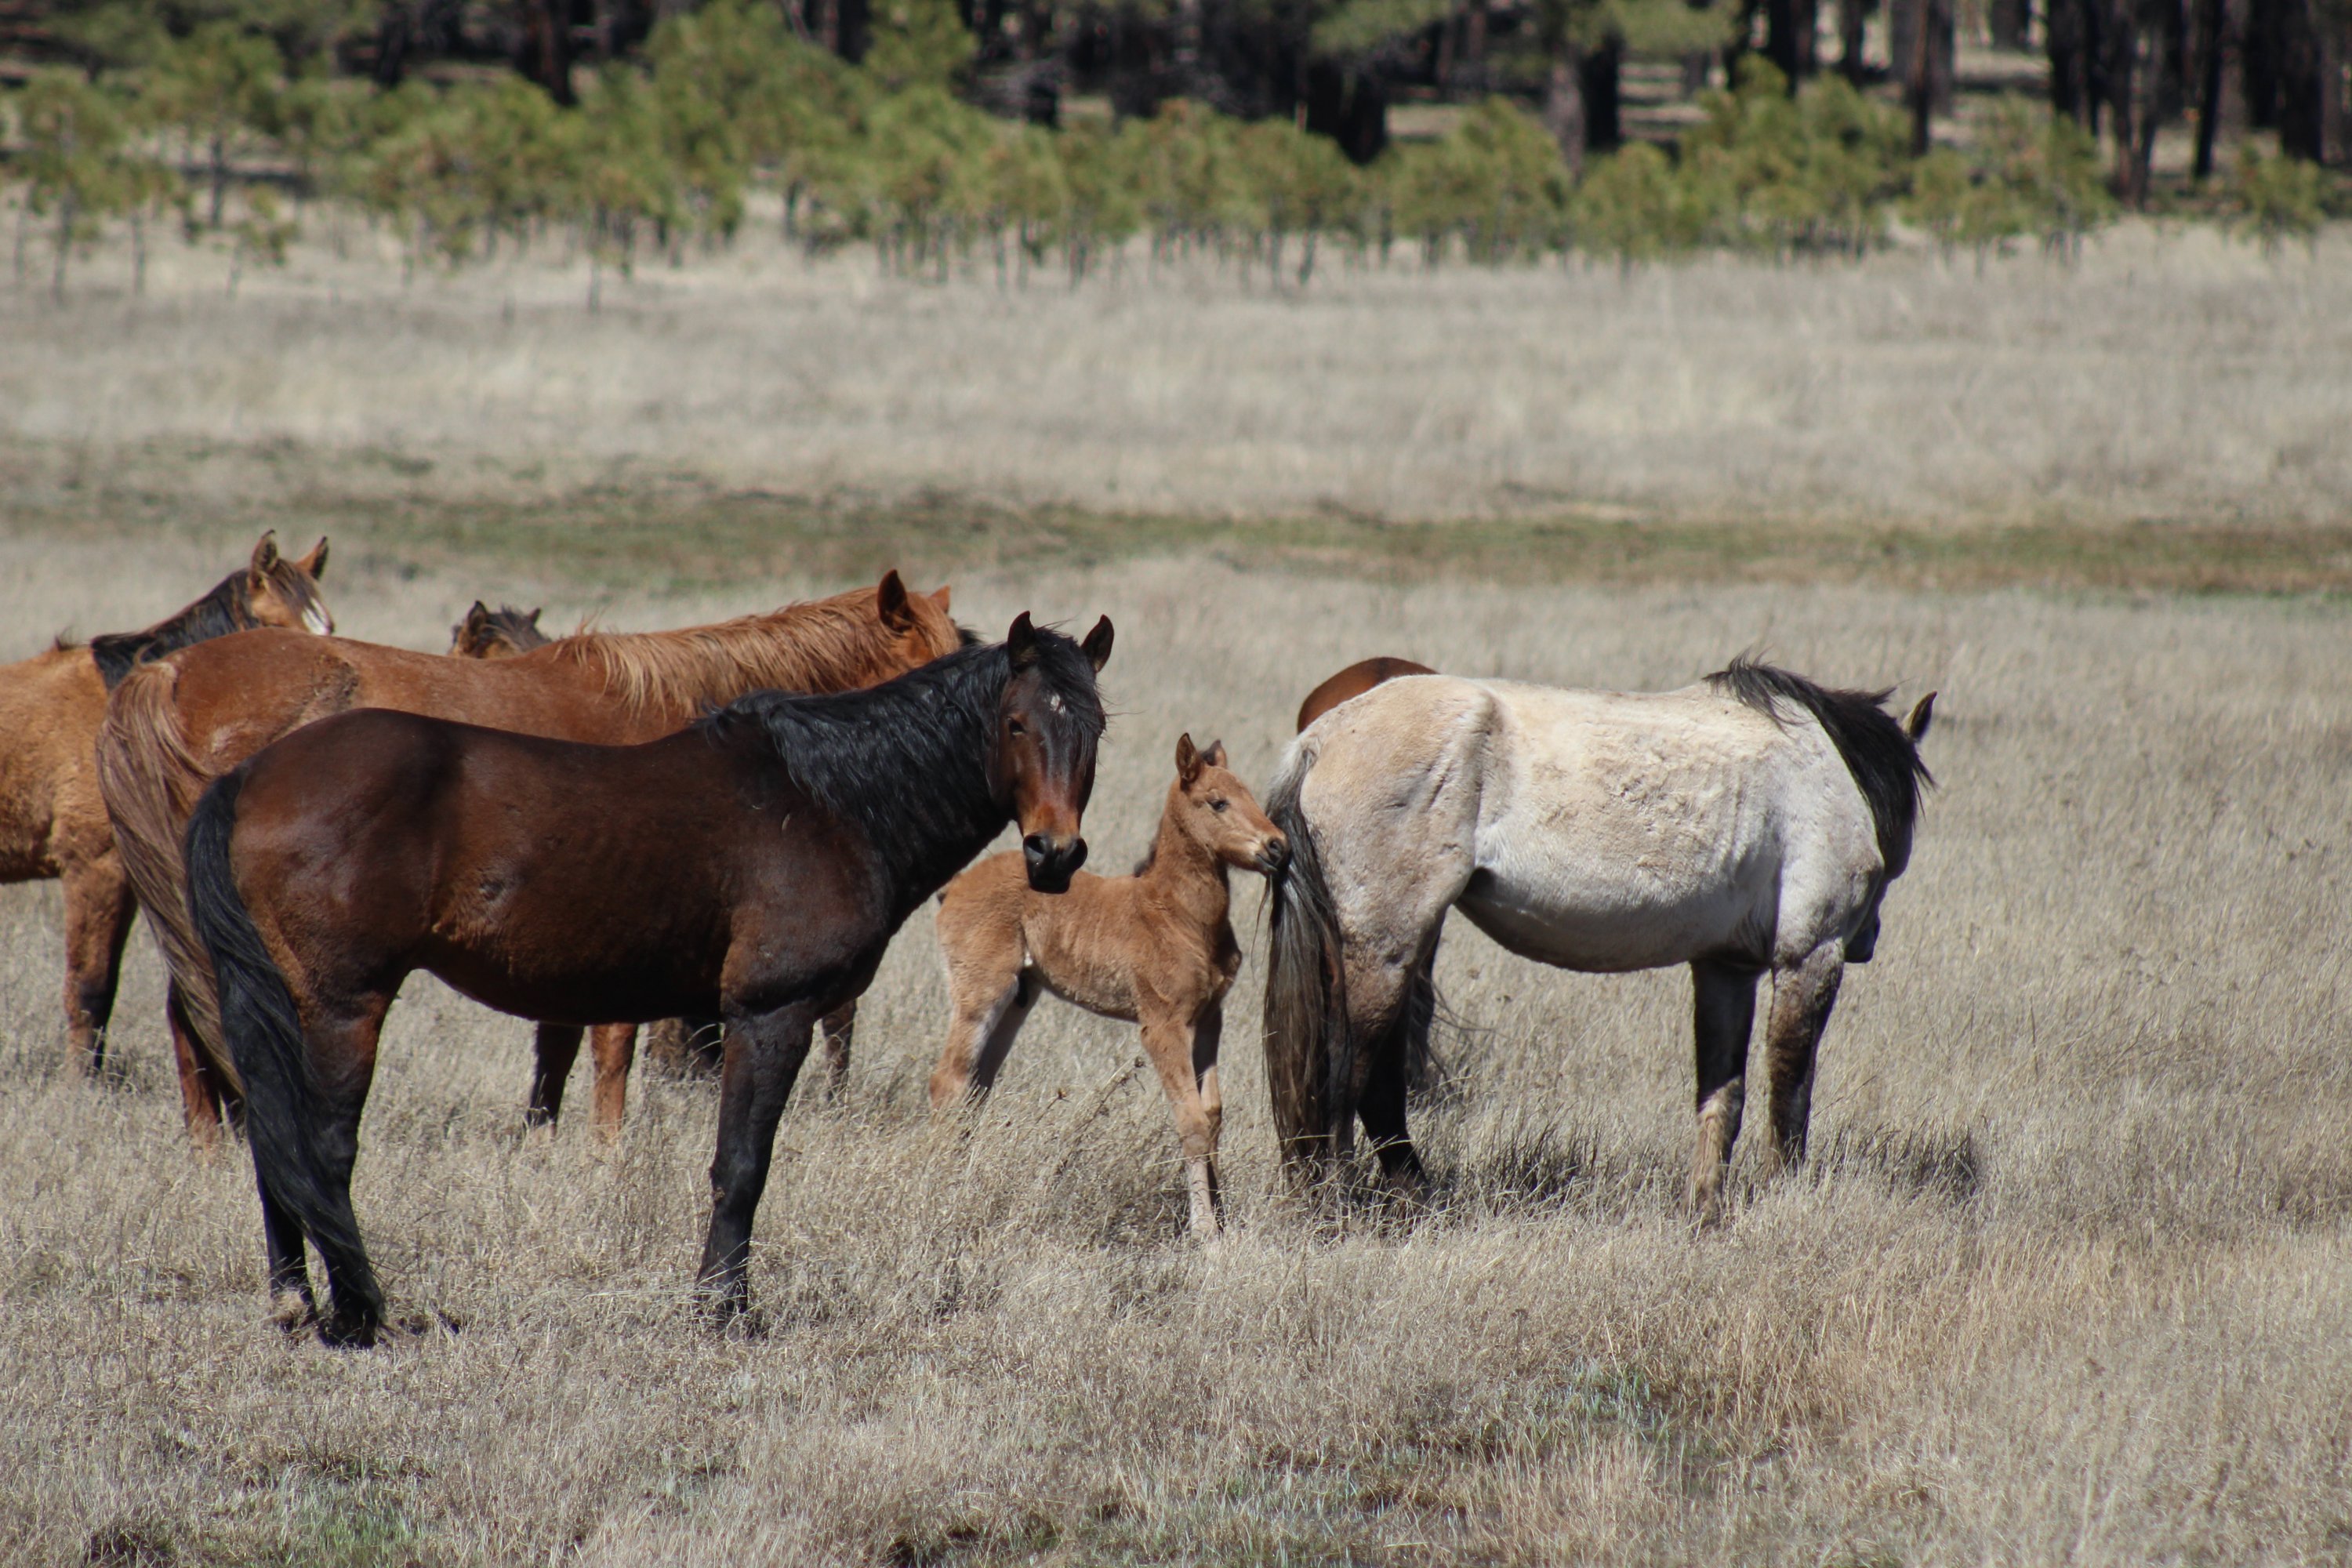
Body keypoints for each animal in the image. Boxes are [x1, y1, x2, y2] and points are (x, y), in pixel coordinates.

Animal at [185, 614, 1111, 1345]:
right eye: (1018, 723)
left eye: (1098, 727)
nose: (1054, 855)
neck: (828, 801)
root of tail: (253, 774)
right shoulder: (770, 1015)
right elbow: (742, 1165)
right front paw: (726, 1310)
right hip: (344, 1006)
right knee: (319, 1149)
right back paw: (355, 1312)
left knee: (276, 1143)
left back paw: (295, 1303)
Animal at [930, 734, 1288, 1237]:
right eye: (1218, 802)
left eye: (1251, 794)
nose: (1278, 848)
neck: (1179, 915)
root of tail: (954, 887)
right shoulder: (1162, 1024)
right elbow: (1191, 1121)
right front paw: (1205, 1233)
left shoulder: (1209, 1017)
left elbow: (1213, 1114)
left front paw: (1222, 1216)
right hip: (980, 992)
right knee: (948, 1081)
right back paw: (940, 1186)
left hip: (1018, 1000)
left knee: (976, 1087)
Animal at [1261, 658, 1934, 1219]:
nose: (1868, 940)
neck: (1825, 767)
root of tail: (1319, 739)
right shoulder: (1809, 957)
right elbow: (1790, 1095)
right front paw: (1786, 1195)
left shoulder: (1725, 968)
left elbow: (1724, 1096)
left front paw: (1706, 1212)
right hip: (1388, 949)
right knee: (1354, 1080)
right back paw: (1349, 1203)